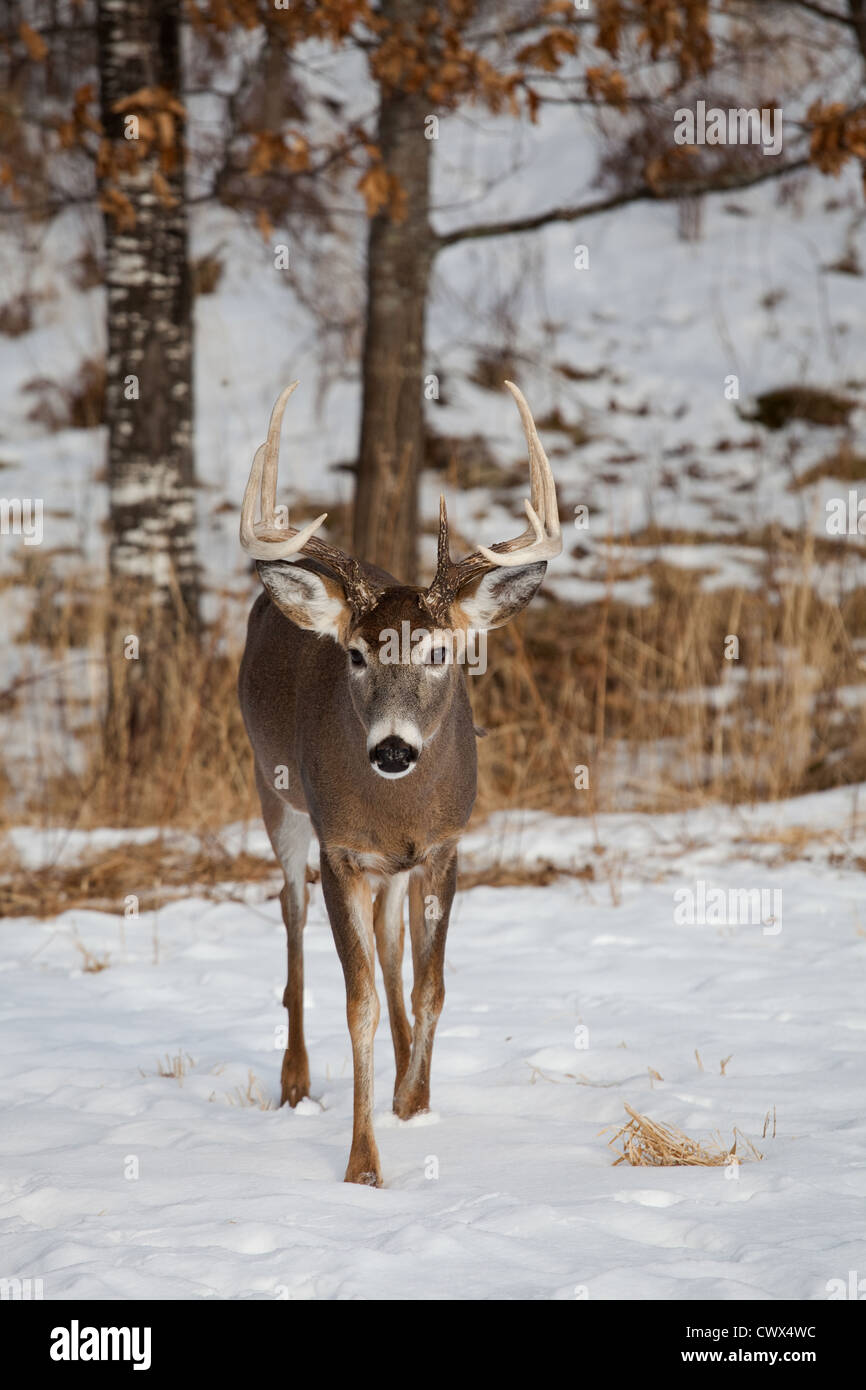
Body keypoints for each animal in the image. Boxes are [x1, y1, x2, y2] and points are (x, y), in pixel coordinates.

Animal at [238, 379, 561, 1186]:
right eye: (355, 653)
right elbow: (359, 1005)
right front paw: (363, 1165)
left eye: (440, 650)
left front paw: (414, 1098)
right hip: (272, 790)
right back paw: (295, 1079)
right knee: (290, 911)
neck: (397, 813)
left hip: (391, 865)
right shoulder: (342, 848)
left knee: (390, 943)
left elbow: (430, 981)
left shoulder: (444, 844)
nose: (390, 749)